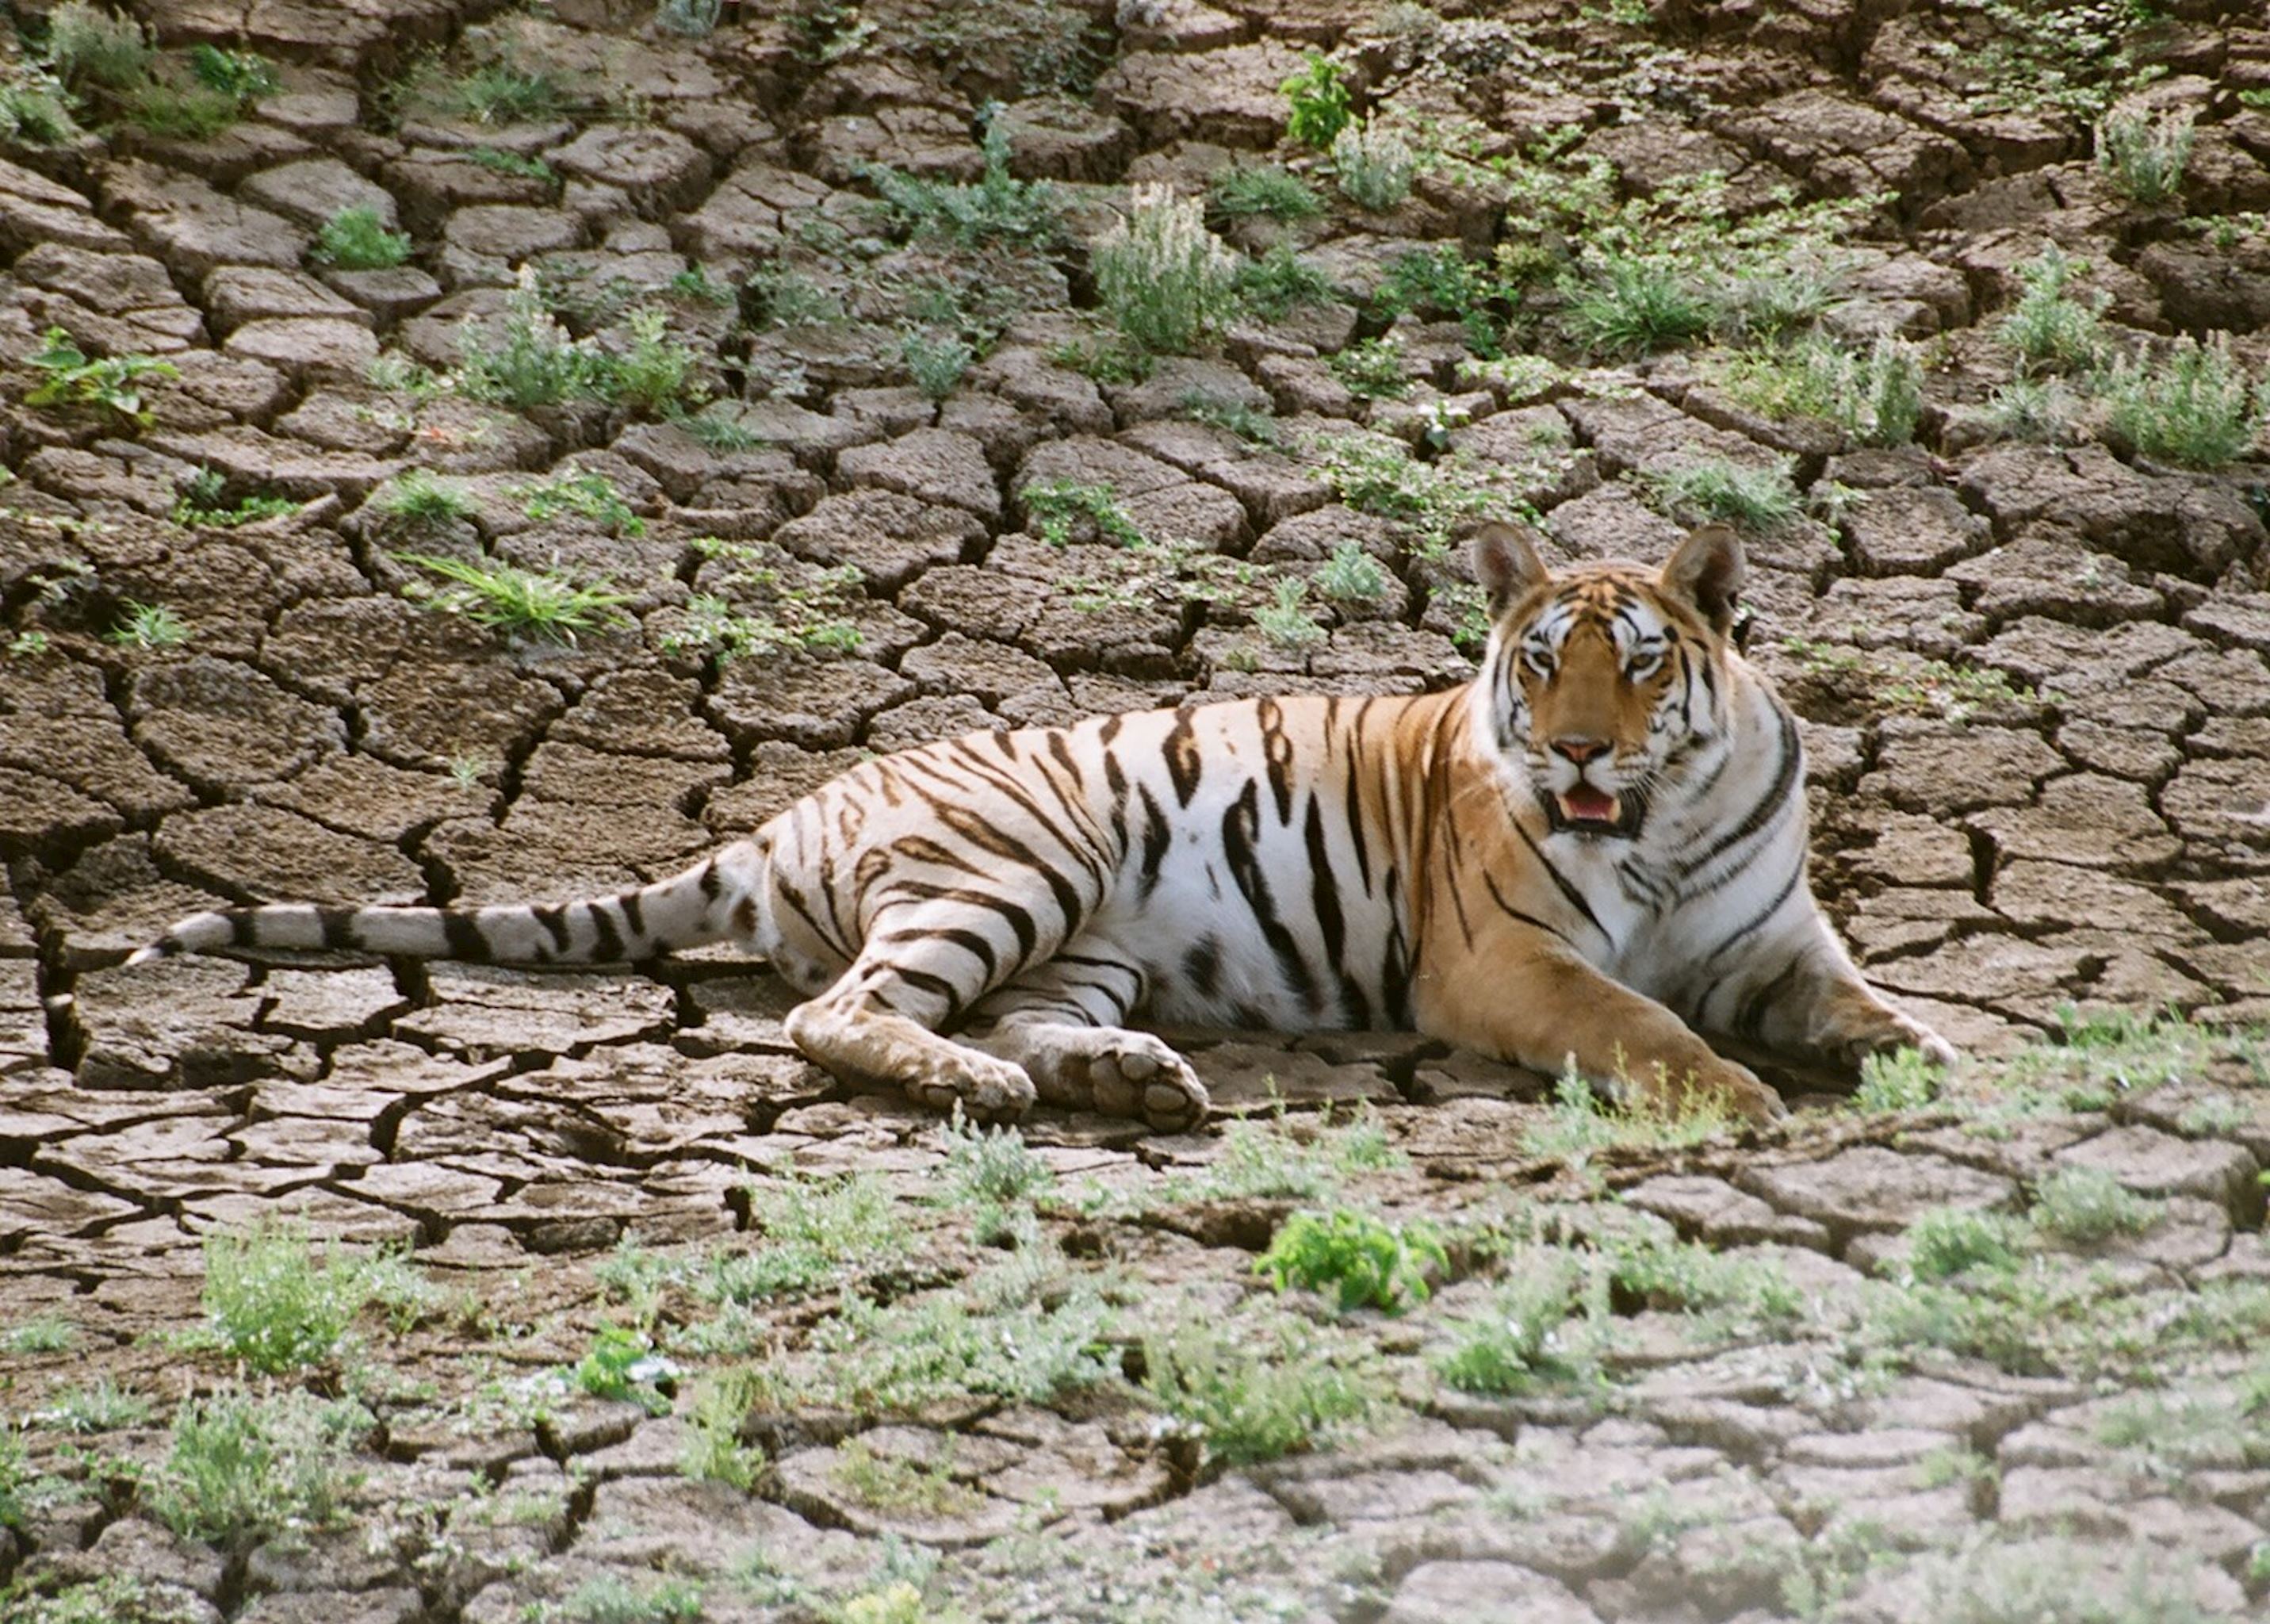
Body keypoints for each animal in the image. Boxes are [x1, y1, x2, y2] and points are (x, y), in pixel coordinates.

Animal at [132, 521, 1953, 1132]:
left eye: (1638, 664)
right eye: (1538, 661)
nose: (1574, 750)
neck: (1657, 822)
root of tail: (795, 807)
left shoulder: (1774, 939)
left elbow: (1872, 1009)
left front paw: (1942, 1064)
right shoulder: (1505, 965)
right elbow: (1634, 1019)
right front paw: (1727, 1093)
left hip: (1089, 943)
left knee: (1007, 1015)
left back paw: (1125, 1082)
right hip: (1018, 865)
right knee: (836, 1013)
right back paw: (986, 1090)